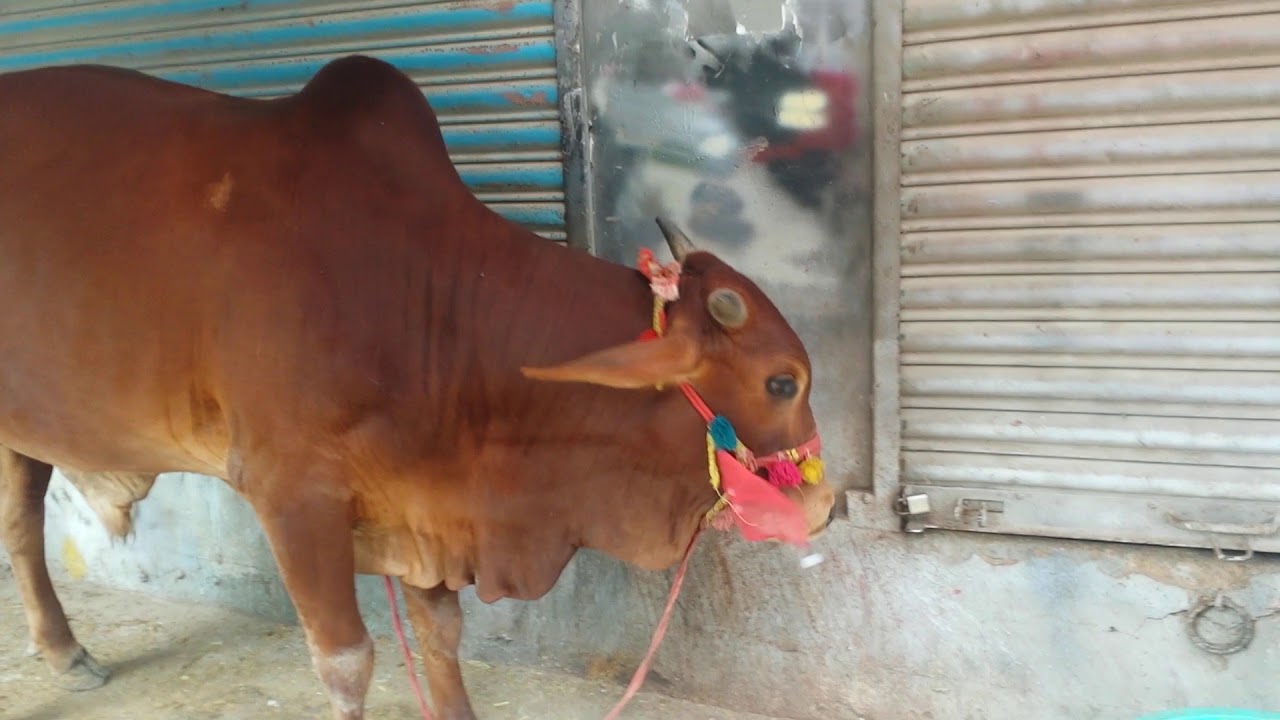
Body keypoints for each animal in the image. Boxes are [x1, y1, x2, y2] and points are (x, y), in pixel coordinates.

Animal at [0, 55, 835, 719]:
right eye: (782, 381)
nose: (828, 503)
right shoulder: (291, 491)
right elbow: (344, 662)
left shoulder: (424, 493)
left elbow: (442, 633)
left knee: (20, 522)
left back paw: (64, 652)